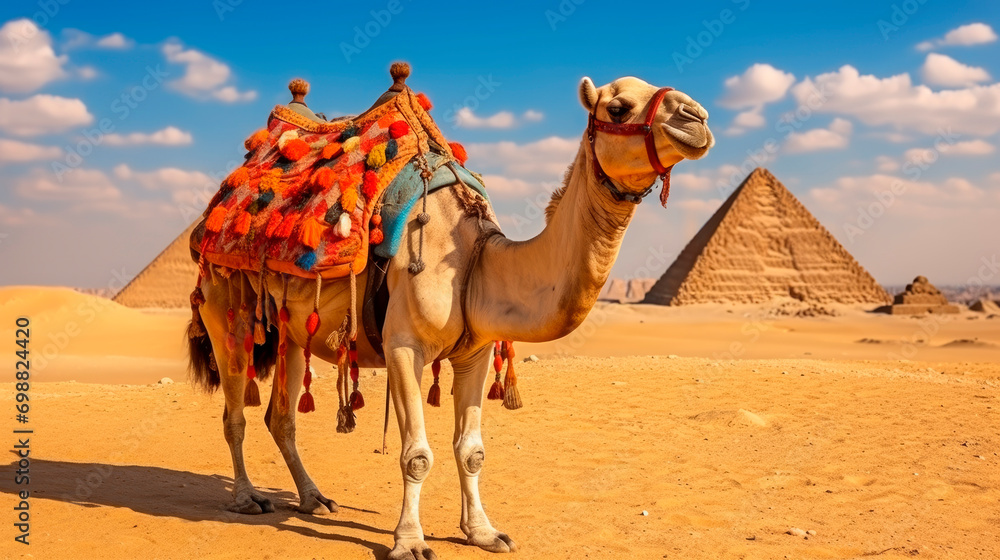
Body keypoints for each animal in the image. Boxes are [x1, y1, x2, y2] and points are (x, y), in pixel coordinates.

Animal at [188, 74, 713, 559]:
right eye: (618, 107)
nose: (698, 117)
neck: (473, 260)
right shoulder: (403, 346)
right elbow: (416, 455)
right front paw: (408, 542)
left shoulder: (474, 353)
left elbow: (472, 450)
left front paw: (484, 532)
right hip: (224, 310)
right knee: (234, 414)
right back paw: (247, 498)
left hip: (291, 333)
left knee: (281, 417)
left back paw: (314, 499)